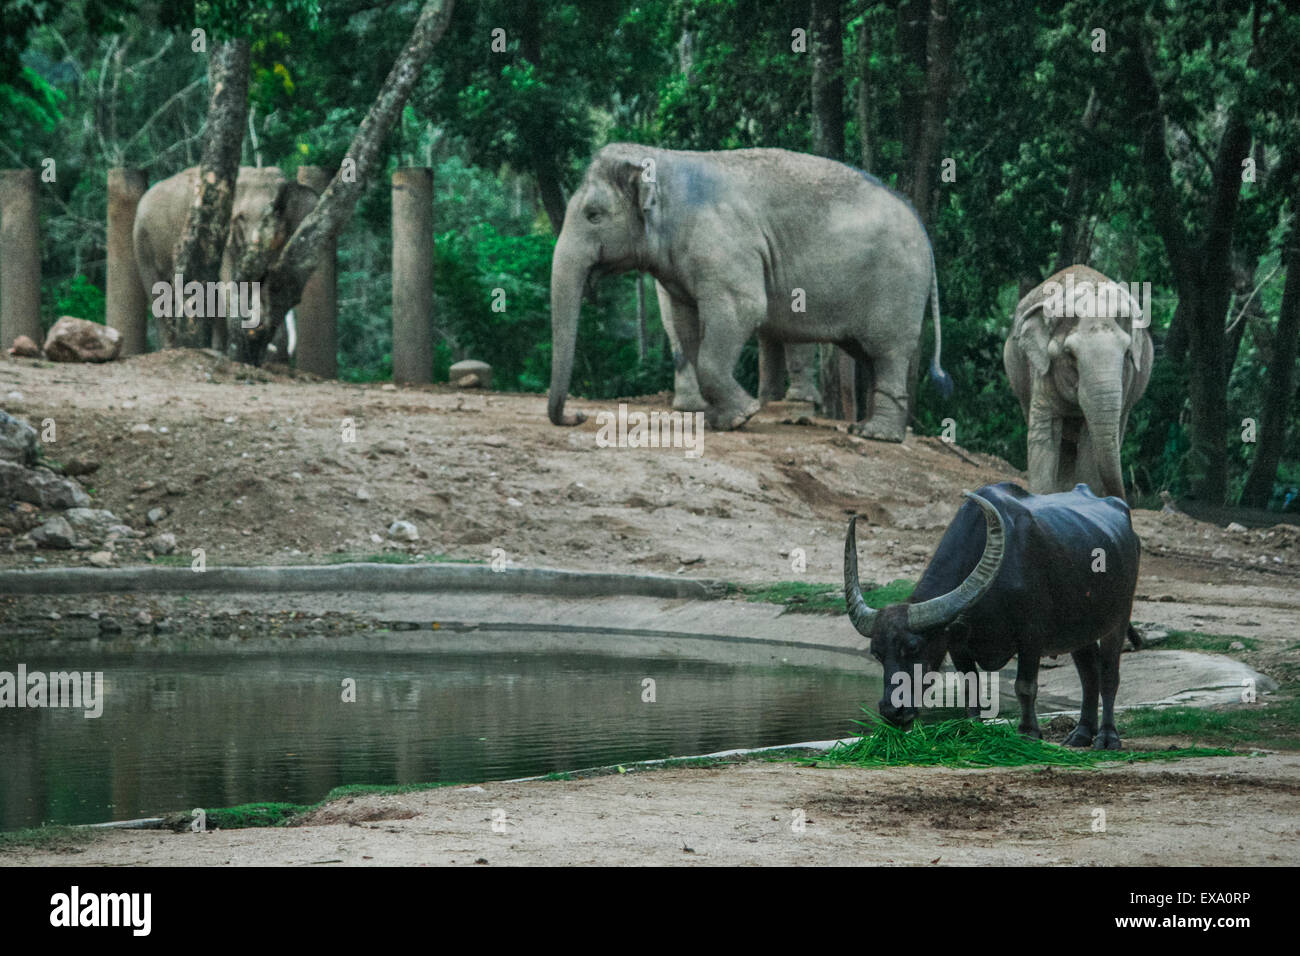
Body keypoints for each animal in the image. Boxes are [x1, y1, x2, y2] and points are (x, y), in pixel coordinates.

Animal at [133, 166, 318, 363]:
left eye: (280, 213)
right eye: (241, 218)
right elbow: (228, 285)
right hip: (142, 241)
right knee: (158, 292)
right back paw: (171, 348)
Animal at [548, 144, 951, 435]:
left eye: (593, 216)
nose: (577, 416)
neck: (661, 159)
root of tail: (923, 228)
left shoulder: (725, 243)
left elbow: (743, 310)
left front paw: (742, 417)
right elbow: (686, 324)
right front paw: (721, 420)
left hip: (898, 286)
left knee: (888, 352)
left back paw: (877, 435)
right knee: (867, 354)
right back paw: (863, 428)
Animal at [844, 481, 1140, 749]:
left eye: (913, 647)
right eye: (876, 653)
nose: (892, 711)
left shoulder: (1031, 635)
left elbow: (1025, 686)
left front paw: (1028, 733)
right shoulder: (958, 645)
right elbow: (970, 688)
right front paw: (973, 729)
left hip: (1119, 615)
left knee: (1109, 675)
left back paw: (1107, 737)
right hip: (1080, 631)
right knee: (1089, 675)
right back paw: (1081, 734)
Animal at [1003, 264, 1154, 501]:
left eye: (1127, 353)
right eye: (1070, 354)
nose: (1126, 498)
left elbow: (1090, 443)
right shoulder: (1041, 372)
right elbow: (1044, 434)